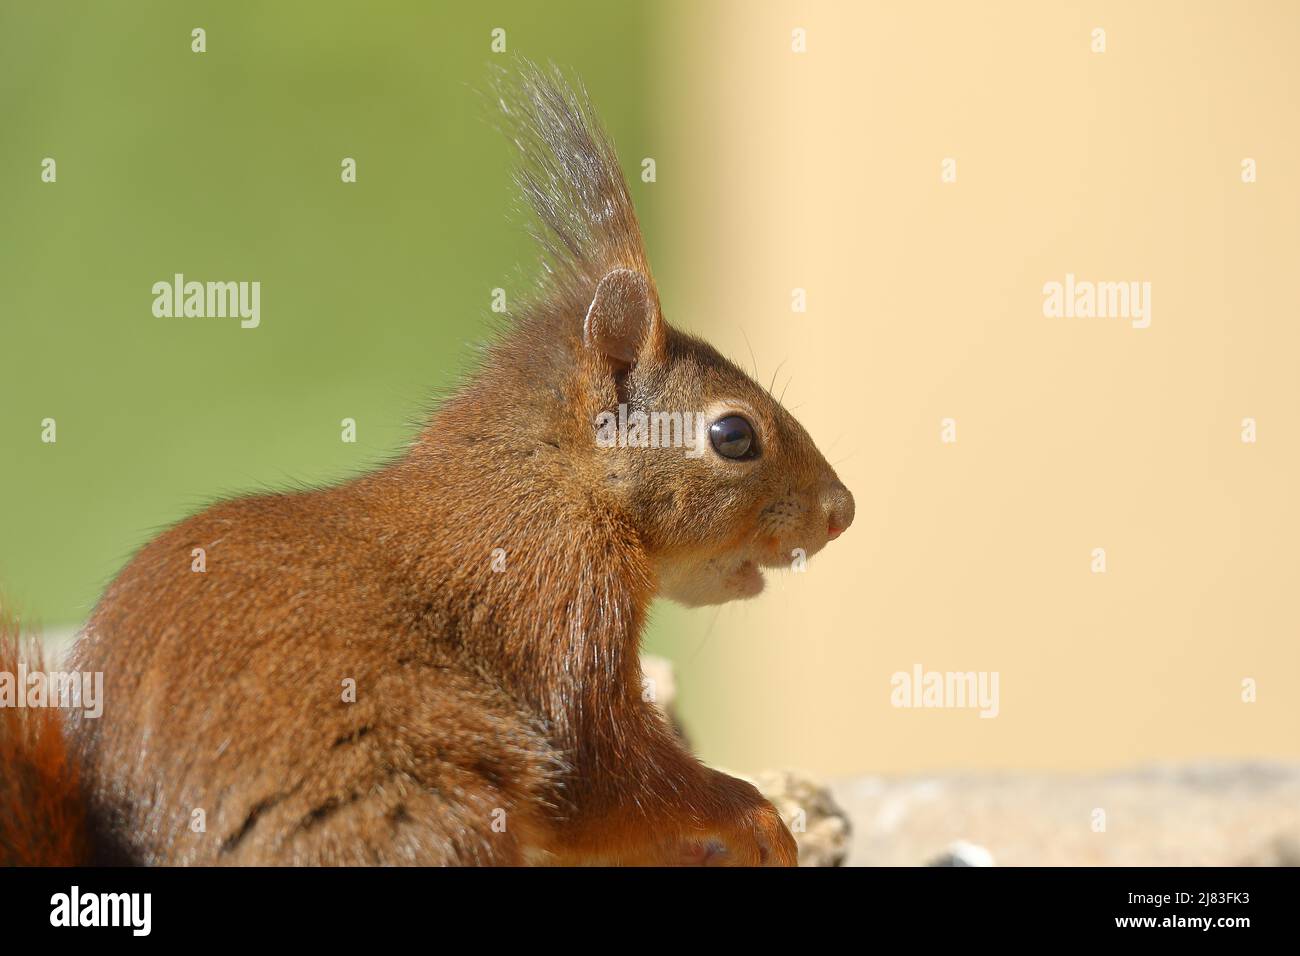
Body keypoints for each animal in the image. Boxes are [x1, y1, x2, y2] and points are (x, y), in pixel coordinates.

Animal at [0, 64, 854, 866]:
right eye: (734, 436)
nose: (841, 511)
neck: (548, 484)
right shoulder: (554, 603)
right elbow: (599, 771)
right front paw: (757, 820)